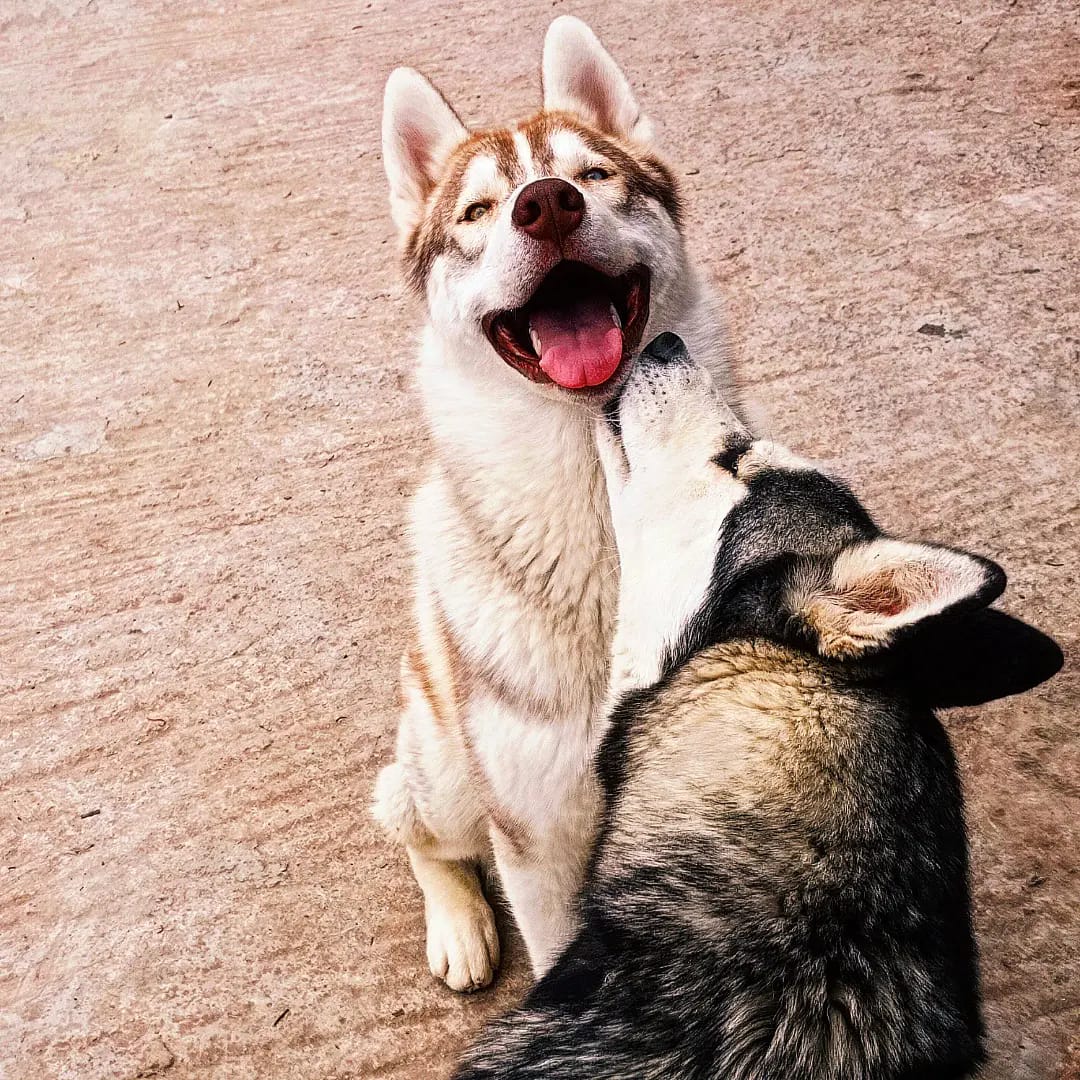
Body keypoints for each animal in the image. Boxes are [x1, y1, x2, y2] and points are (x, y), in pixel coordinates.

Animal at [372, 18, 732, 990]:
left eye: (594, 175)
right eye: (477, 212)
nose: (546, 205)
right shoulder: (539, 835)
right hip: (450, 778)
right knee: (413, 829)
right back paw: (458, 925)